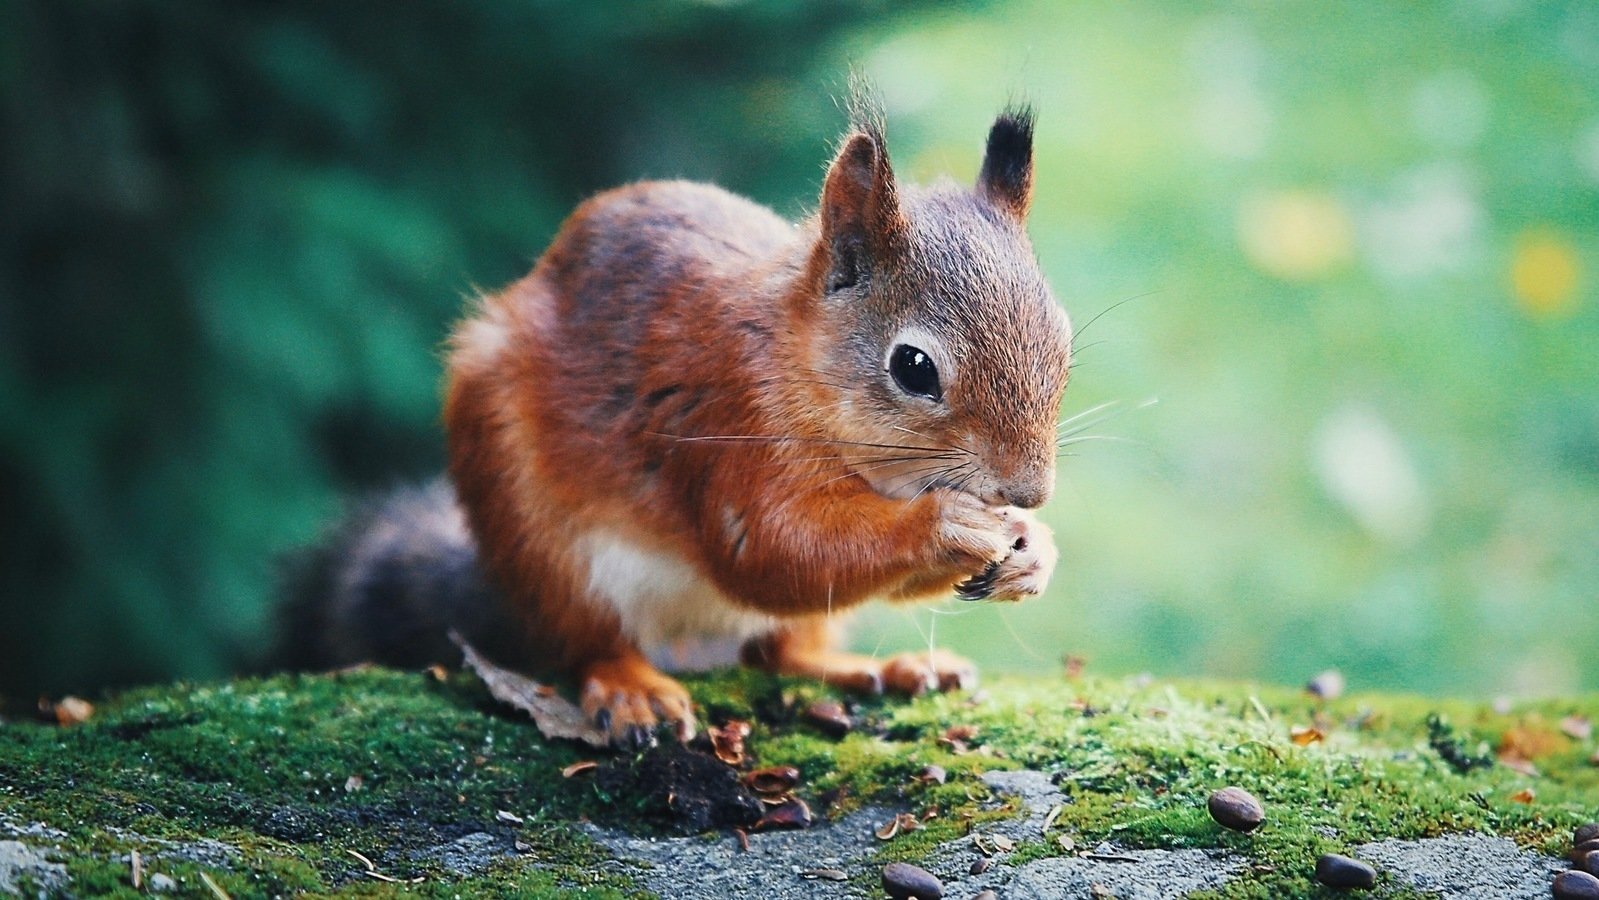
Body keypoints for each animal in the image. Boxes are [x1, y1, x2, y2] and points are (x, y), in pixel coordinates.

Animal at [282, 102, 1073, 747]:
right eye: (913, 367)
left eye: (1063, 338)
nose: (1028, 492)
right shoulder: (727, 427)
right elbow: (773, 552)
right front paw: (947, 524)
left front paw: (1034, 551)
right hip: (541, 541)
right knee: (591, 640)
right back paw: (633, 690)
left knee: (785, 650)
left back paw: (879, 668)